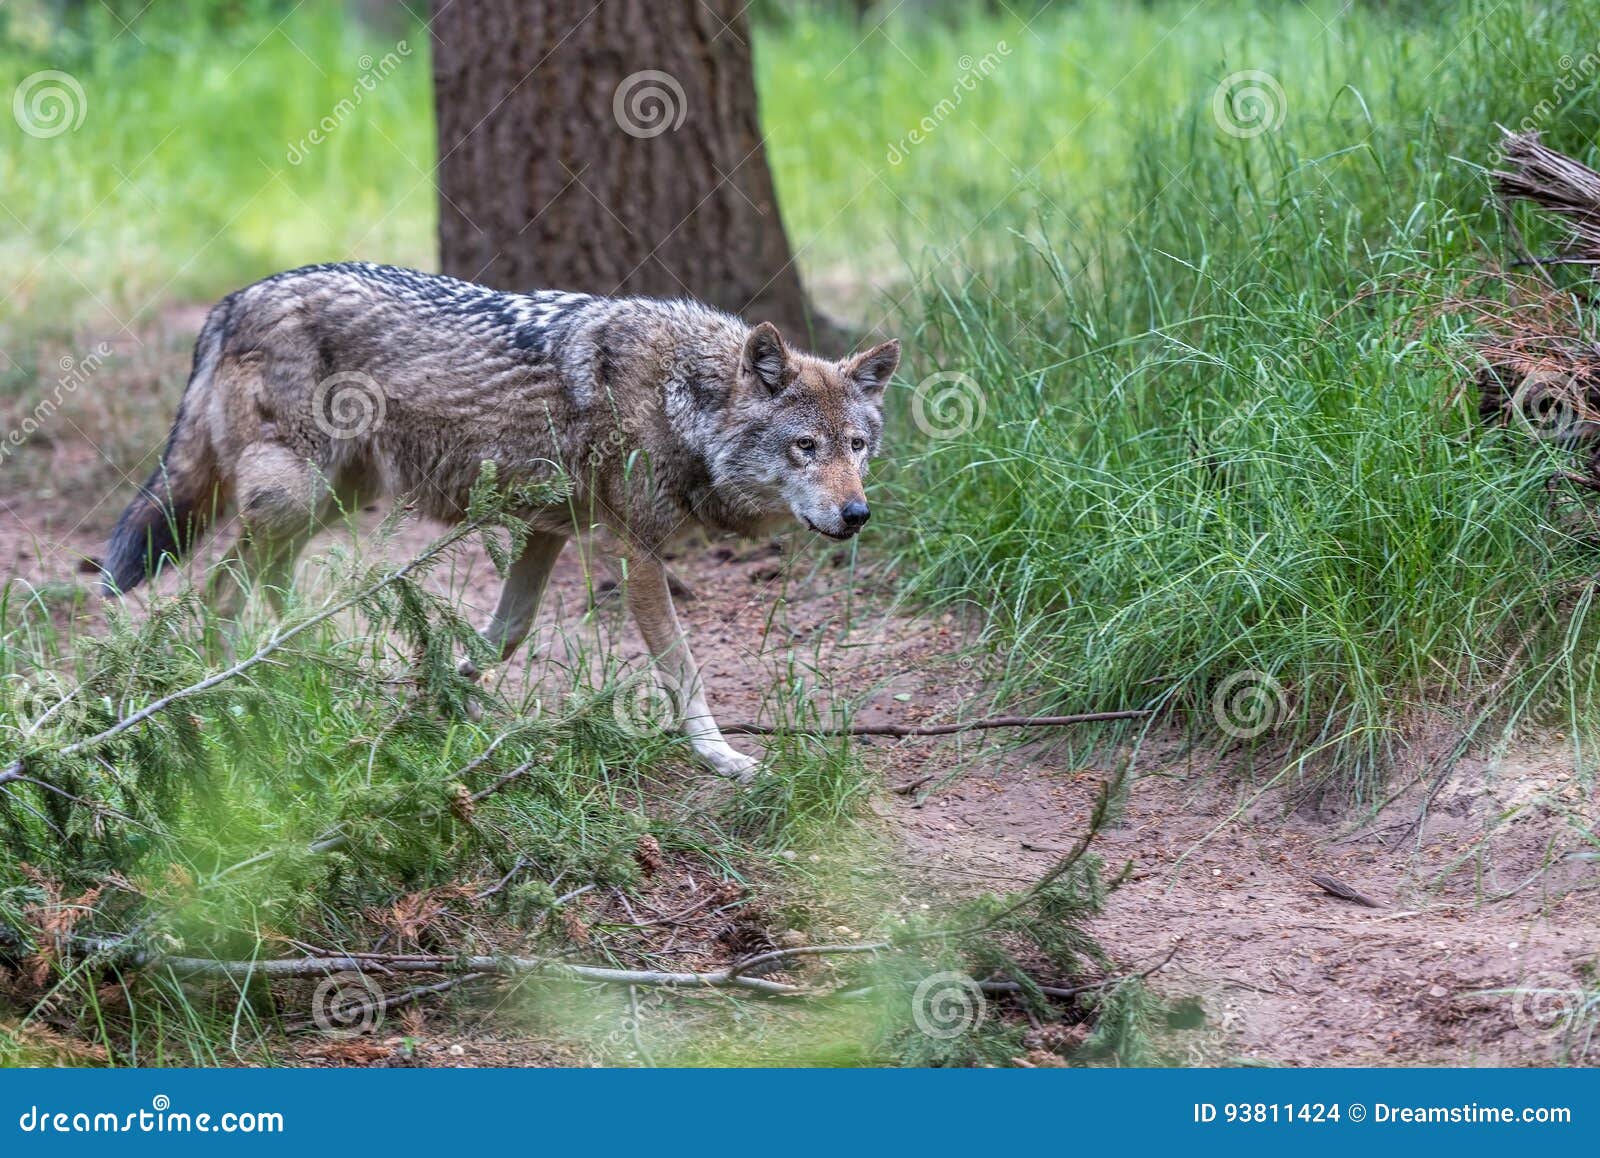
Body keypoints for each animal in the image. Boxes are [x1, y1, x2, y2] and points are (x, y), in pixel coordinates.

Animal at [103, 263, 900, 781]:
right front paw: (723, 757)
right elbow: (685, 671)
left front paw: (441, 693)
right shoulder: (636, 552)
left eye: (857, 446)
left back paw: (285, 673)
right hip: (297, 495)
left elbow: (505, 635)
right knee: (221, 588)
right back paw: (236, 691)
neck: (685, 399)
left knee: (259, 586)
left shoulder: (550, 529)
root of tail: (234, 297)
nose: (857, 514)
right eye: (805, 447)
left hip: (335, 500)